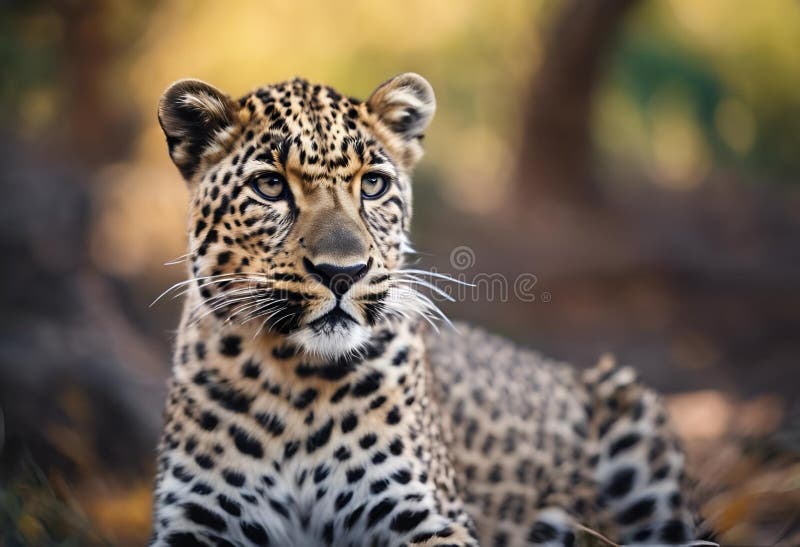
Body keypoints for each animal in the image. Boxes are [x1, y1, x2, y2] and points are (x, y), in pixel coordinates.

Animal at [149, 73, 700, 546]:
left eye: (372, 185)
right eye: (270, 187)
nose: (342, 273)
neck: (293, 383)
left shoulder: (425, 512)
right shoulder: (195, 519)